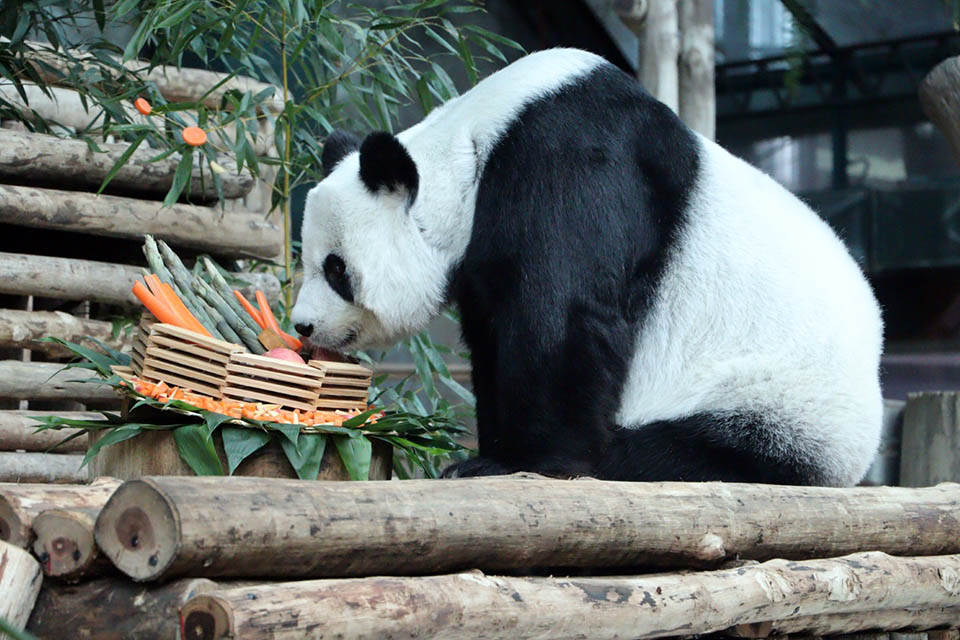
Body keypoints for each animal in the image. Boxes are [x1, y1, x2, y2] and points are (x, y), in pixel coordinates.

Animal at [291, 48, 884, 487]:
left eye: (337, 269)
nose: (303, 325)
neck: (467, 148)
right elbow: (494, 333)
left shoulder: (574, 161)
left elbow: (561, 315)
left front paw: (513, 461)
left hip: (772, 404)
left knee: (687, 452)